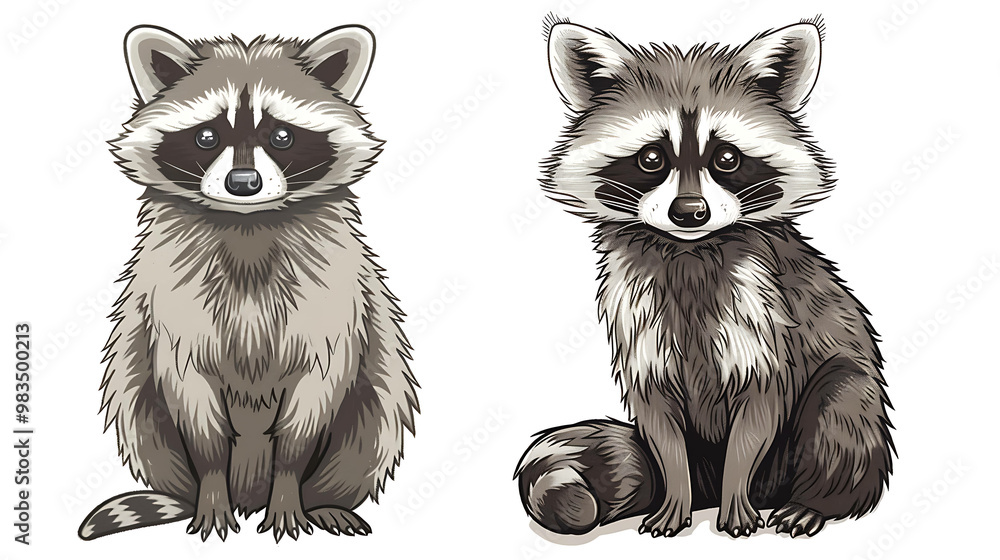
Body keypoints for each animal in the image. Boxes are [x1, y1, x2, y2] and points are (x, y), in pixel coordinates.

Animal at [78, 26, 419, 542]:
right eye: (206, 136)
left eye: (281, 135)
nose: (243, 182)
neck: (247, 225)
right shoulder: (173, 309)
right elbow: (197, 412)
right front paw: (212, 492)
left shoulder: (333, 304)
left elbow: (308, 411)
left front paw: (288, 492)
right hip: (140, 402)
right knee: (139, 398)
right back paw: (193, 497)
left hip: (374, 397)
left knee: (373, 418)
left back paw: (323, 501)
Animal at [515, 17, 894, 538]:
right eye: (652, 158)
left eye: (727, 158)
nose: (690, 212)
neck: (688, 250)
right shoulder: (639, 326)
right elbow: (661, 427)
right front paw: (676, 499)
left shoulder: (765, 320)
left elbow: (757, 416)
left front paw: (737, 501)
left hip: (844, 400)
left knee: (842, 410)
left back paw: (815, 499)